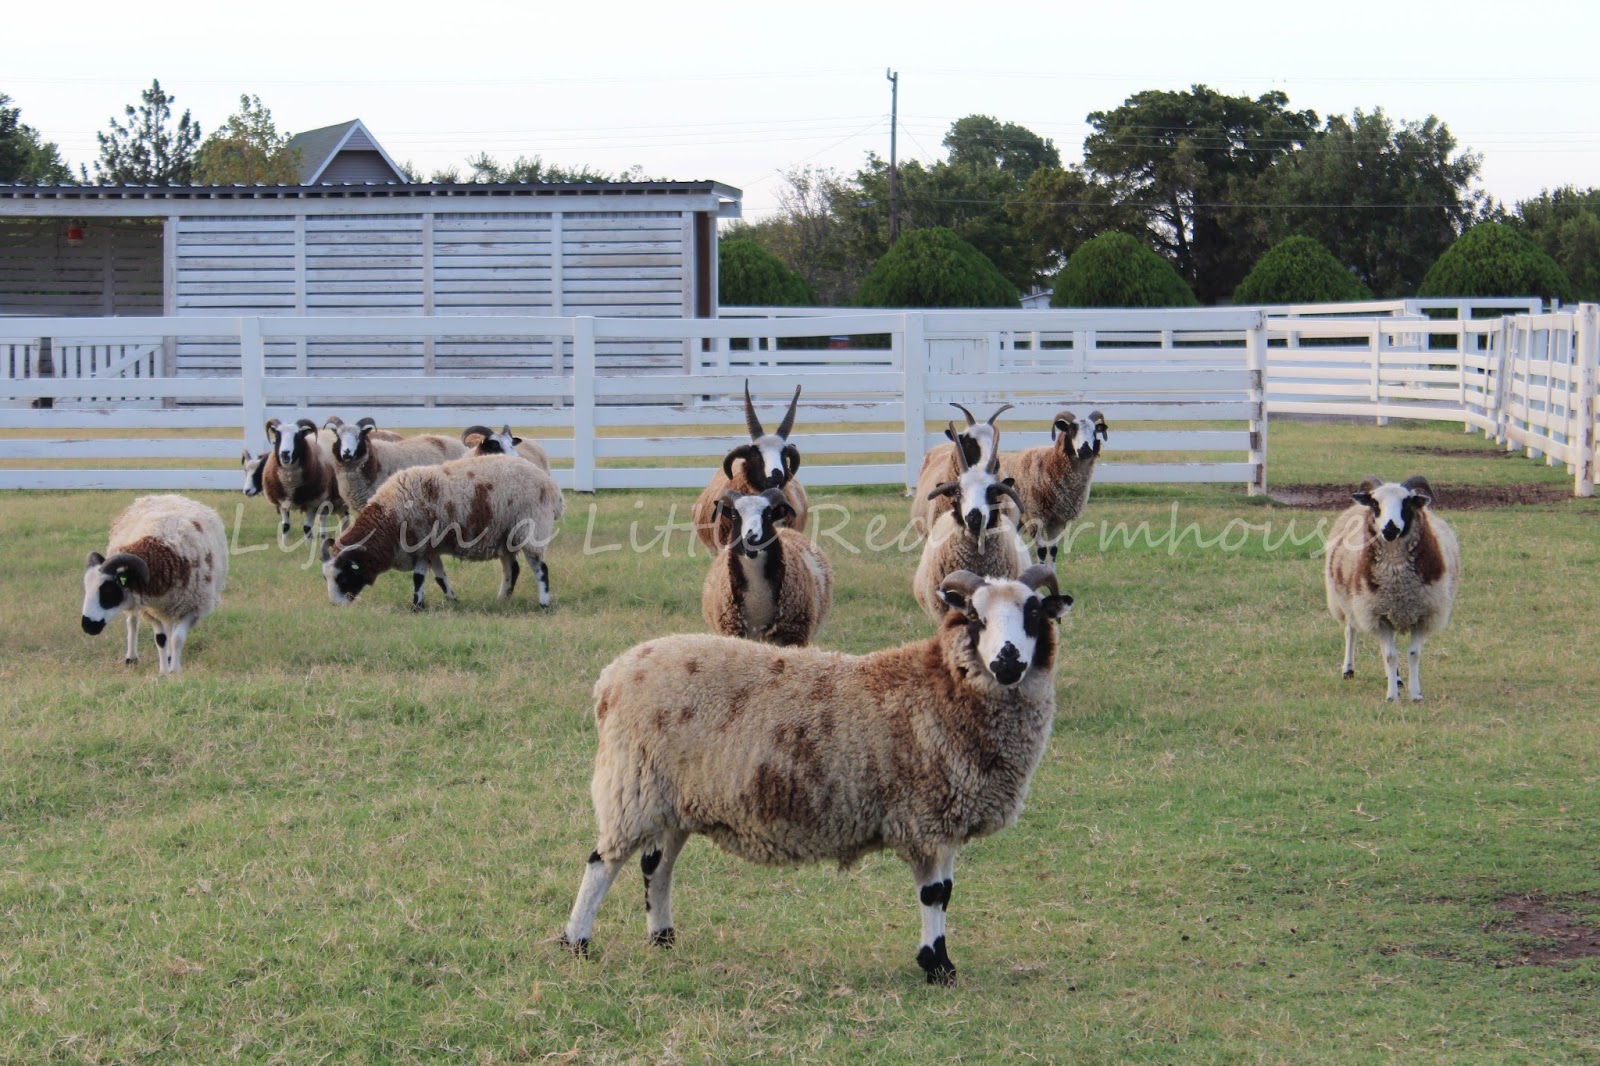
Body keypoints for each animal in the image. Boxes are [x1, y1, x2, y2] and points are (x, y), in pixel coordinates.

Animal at [80, 494, 229, 676]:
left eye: (108, 591)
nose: (87, 626)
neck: (163, 556)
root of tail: (168, 495)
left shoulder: (193, 608)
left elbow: (177, 638)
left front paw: (175, 670)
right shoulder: (149, 610)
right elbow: (161, 639)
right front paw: (163, 672)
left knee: (170, 628)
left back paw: (170, 657)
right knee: (133, 622)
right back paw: (131, 658)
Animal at [320, 452, 564, 610]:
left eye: (343, 577)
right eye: (325, 578)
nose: (335, 606)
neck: (389, 518)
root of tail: (553, 489)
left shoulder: (420, 545)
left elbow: (418, 578)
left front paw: (417, 606)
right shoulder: (431, 549)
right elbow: (440, 577)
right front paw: (452, 599)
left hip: (532, 530)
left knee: (540, 569)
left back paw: (544, 603)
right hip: (506, 537)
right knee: (511, 569)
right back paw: (502, 600)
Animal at [560, 564, 1074, 986]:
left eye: (1033, 612)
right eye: (975, 616)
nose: (1008, 660)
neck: (942, 686)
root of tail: (611, 678)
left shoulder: (943, 820)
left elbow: (945, 892)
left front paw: (939, 962)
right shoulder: (925, 816)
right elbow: (933, 895)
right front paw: (937, 965)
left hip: (675, 801)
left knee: (657, 867)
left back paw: (662, 937)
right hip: (631, 787)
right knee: (602, 863)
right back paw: (576, 943)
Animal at [1003, 409, 1109, 565]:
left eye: (1095, 431)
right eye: (1071, 430)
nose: (1085, 450)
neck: (1048, 466)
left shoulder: (1057, 521)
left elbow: (1053, 550)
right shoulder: (1034, 516)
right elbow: (1042, 550)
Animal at [1324, 475, 1461, 702]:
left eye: (1407, 502)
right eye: (1375, 503)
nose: (1390, 528)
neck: (1397, 578)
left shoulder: (1420, 615)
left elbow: (1413, 654)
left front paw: (1415, 694)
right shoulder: (1377, 614)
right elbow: (1390, 655)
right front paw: (1392, 697)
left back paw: (1396, 679)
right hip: (1350, 601)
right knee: (1350, 629)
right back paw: (1349, 670)